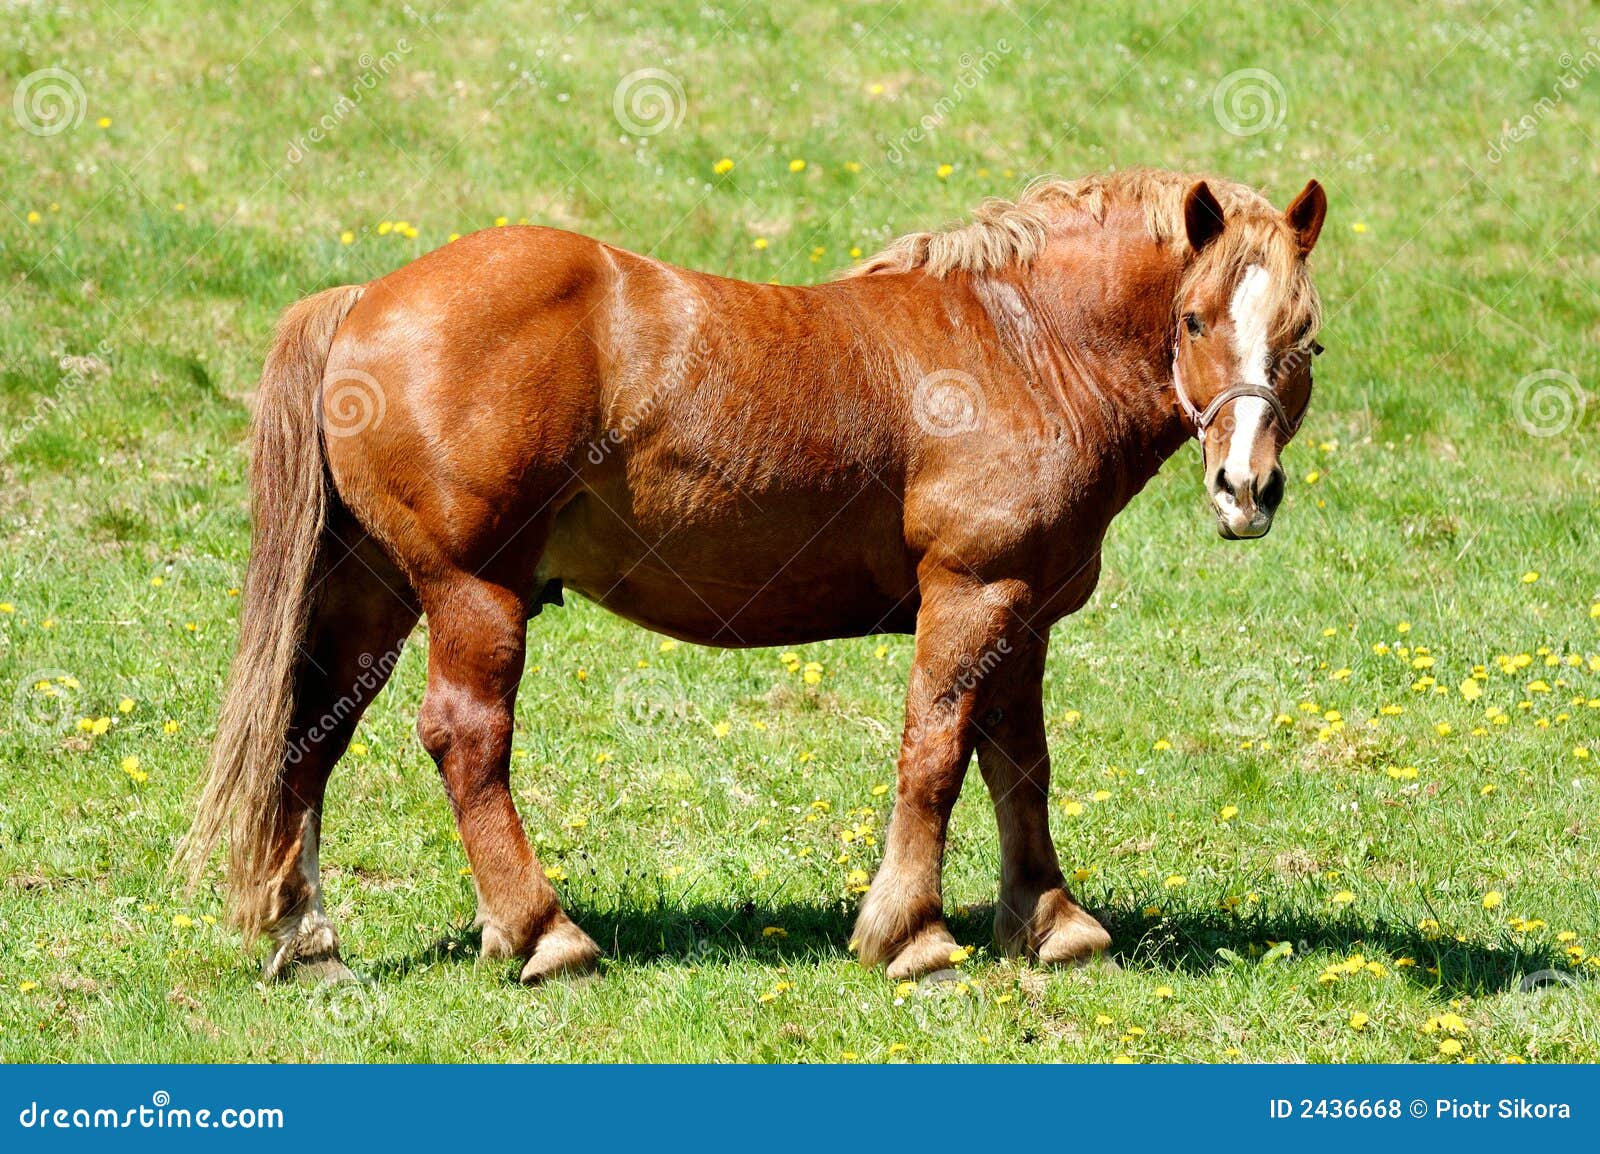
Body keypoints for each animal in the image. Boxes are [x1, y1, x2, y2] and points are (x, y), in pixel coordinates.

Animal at [180, 167, 1327, 984]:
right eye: (1193, 320)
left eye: (1304, 338)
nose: (1246, 486)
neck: (1017, 343)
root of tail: (364, 298)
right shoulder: (972, 594)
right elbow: (935, 753)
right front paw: (909, 934)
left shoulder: (1025, 613)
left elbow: (1019, 762)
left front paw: (1048, 921)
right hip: (472, 591)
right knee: (465, 741)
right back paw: (544, 932)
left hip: (374, 593)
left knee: (309, 736)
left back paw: (308, 938)